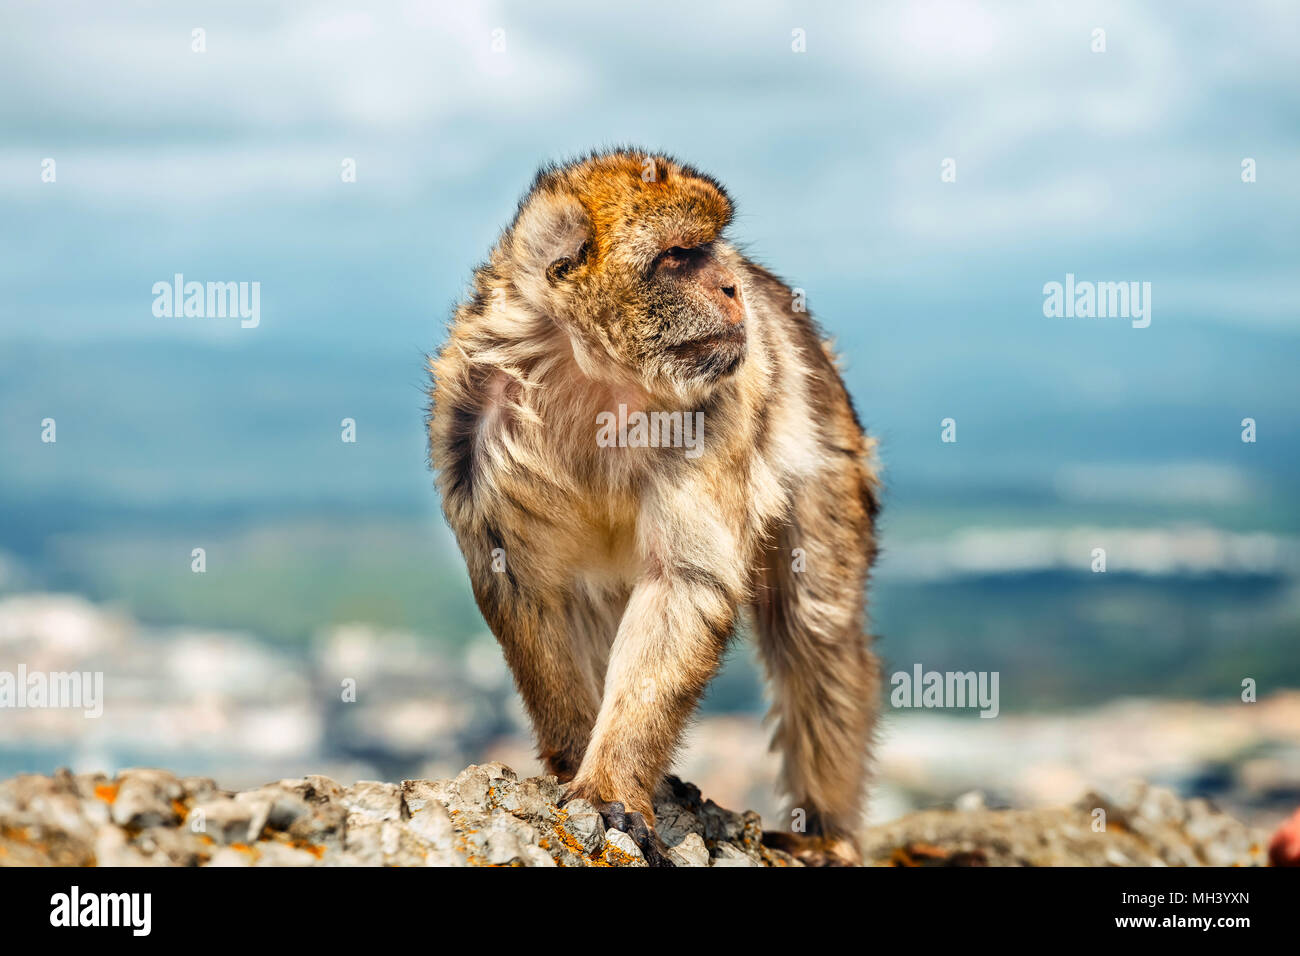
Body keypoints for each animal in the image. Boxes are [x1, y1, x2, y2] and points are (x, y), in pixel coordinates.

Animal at [428, 148, 881, 867]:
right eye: (677, 255)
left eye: (708, 247)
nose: (733, 286)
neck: (595, 373)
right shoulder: (475, 420)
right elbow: (521, 581)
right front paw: (576, 758)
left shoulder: (712, 411)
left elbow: (684, 582)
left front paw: (612, 784)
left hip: (831, 450)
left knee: (814, 626)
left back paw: (825, 831)